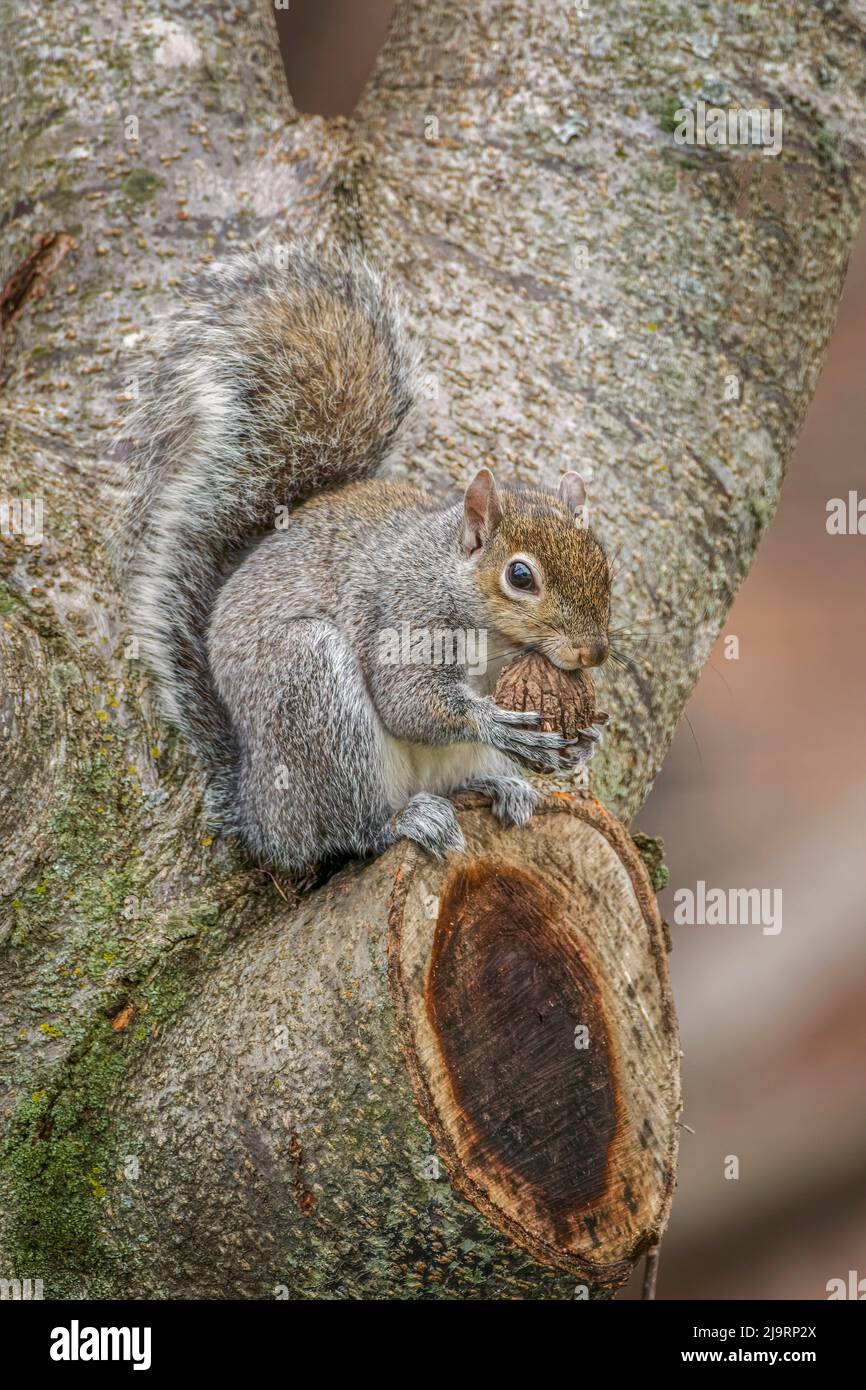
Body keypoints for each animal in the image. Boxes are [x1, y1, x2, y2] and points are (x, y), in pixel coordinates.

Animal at [123, 246, 612, 876]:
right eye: (520, 576)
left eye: (604, 564)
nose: (592, 653)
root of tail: (259, 812)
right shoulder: (406, 614)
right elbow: (409, 702)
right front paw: (498, 723)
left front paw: (583, 742)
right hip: (311, 694)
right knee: (349, 830)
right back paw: (402, 821)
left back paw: (503, 787)